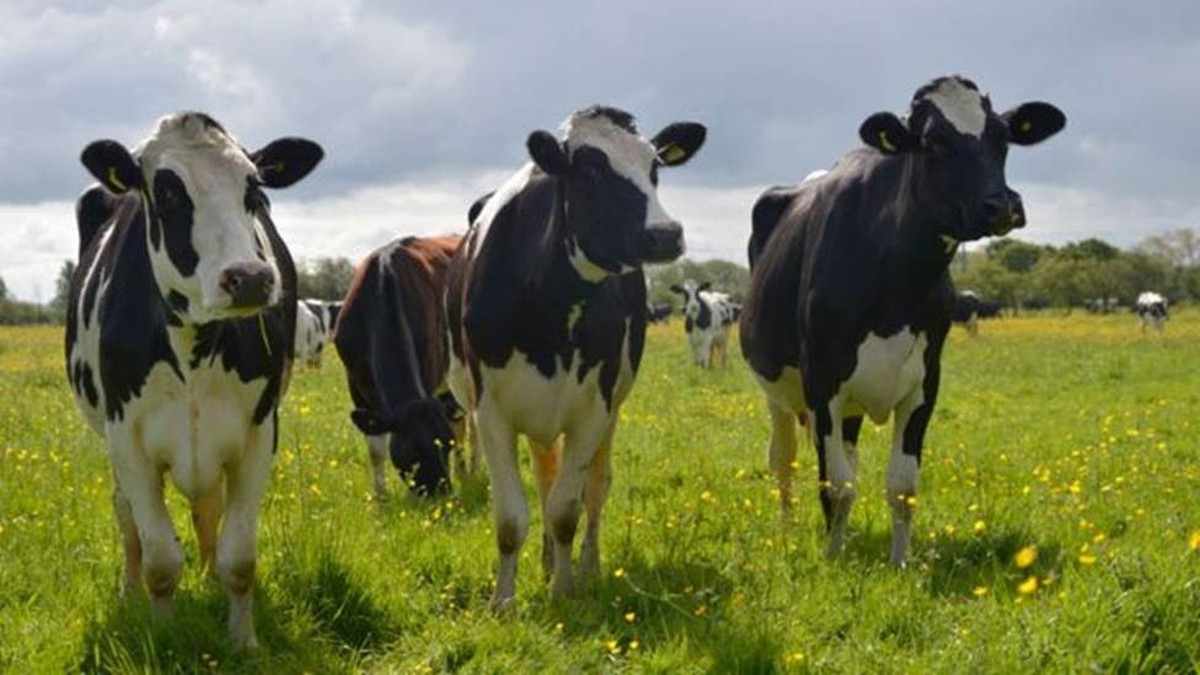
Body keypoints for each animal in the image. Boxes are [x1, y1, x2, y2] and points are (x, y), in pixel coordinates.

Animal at [64, 112, 323, 649]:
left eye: (254, 190)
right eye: (166, 193)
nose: (249, 278)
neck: (194, 346)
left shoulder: (258, 432)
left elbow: (238, 555)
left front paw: (242, 639)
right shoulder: (127, 440)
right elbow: (160, 557)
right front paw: (161, 633)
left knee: (208, 506)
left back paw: (206, 577)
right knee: (127, 518)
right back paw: (130, 593)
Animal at [333, 235, 471, 499]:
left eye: (445, 444)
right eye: (414, 448)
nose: (442, 494)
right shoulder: (355, 384)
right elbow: (376, 450)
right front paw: (381, 498)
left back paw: (470, 473)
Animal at [445, 105, 705, 610]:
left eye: (654, 168)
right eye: (589, 172)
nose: (665, 234)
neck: (550, 307)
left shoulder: (594, 409)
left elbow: (567, 508)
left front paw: (566, 591)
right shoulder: (490, 412)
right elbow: (511, 516)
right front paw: (503, 602)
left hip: (608, 410)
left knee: (593, 490)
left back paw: (586, 568)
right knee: (545, 479)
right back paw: (547, 562)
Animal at [740, 75, 1065, 567]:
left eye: (1003, 137)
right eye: (934, 142)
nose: (1003, 205)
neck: (896, 279)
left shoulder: (924, 382)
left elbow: (901, 486)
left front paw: (899, 562)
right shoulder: (822, 382)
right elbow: (836, 485)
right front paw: (832, 560)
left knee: (847, 456)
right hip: (777, 391)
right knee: (784, 458)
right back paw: (788, 528)